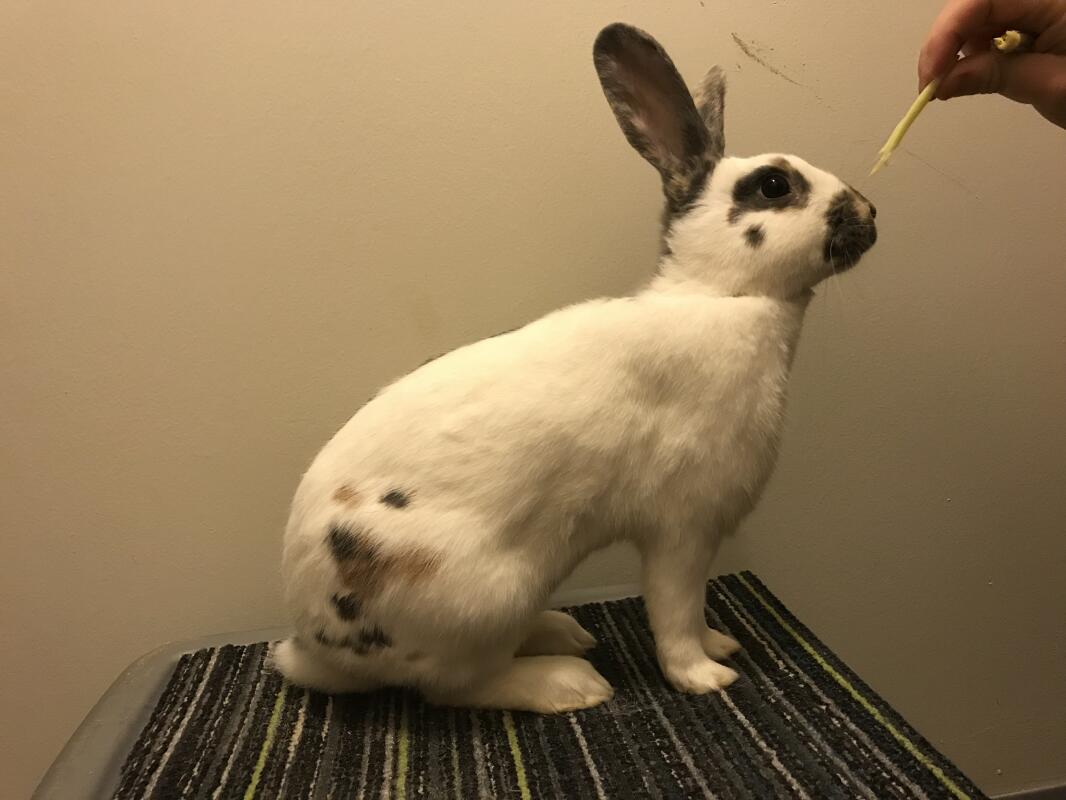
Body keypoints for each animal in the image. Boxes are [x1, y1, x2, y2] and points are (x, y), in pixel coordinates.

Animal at [271, 22, 877, 714]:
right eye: (774, 185)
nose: (871, 213)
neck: (722, 295)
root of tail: (315, 649)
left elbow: (693, 611)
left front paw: (720, 646)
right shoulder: (683, 527)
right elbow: (675, 610)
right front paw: (704, 675)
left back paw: (563, 632)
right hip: (486, 598)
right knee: (457, 686)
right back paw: (570, 679)